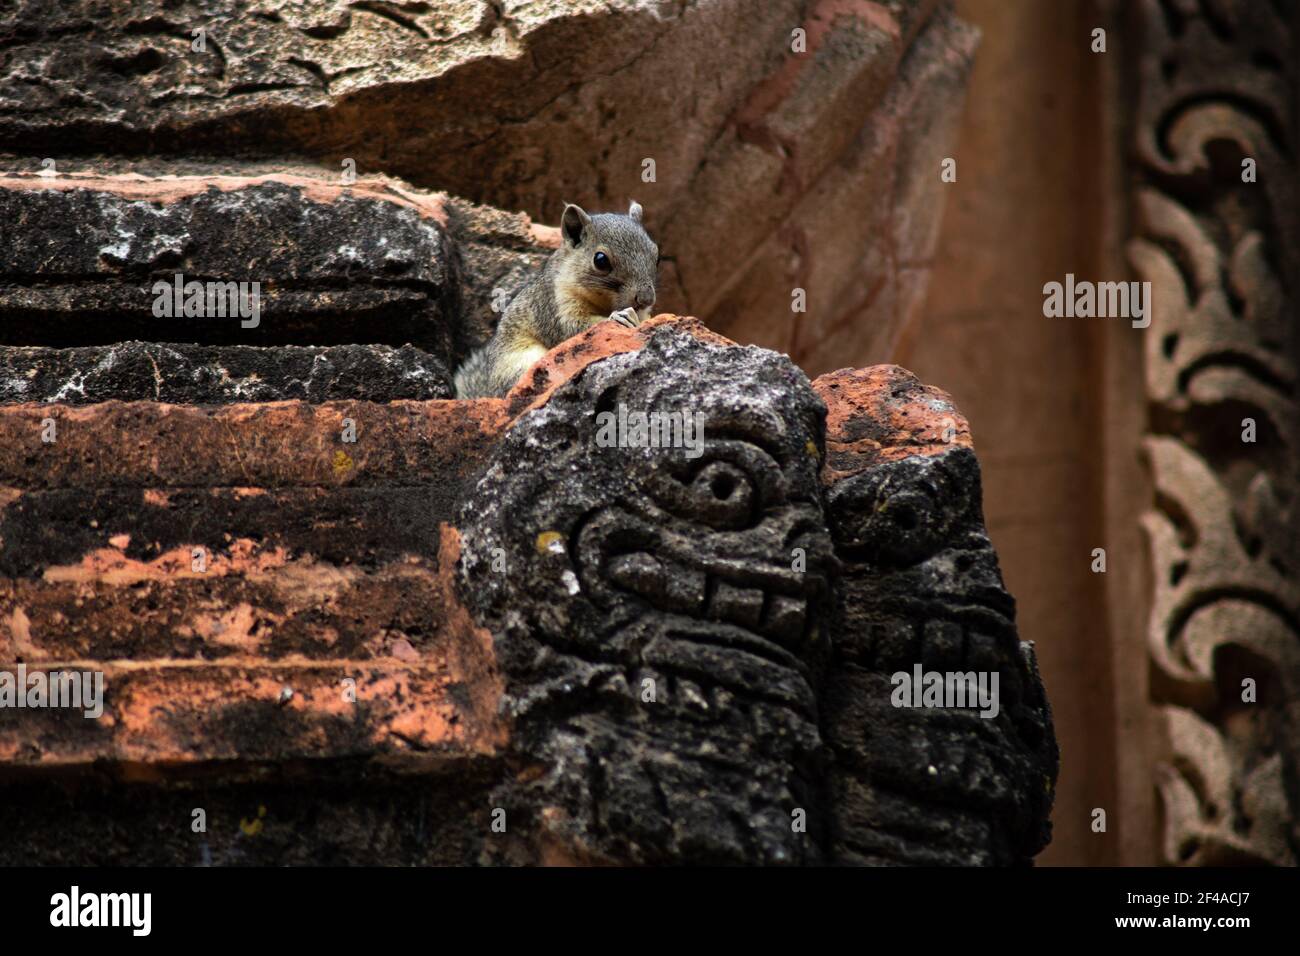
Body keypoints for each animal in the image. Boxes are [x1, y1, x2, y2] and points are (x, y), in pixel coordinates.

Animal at [454, 201, 659, 398]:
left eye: (656, 254)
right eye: (600, 260)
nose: (646, 299)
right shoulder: (554, 305)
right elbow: (572, 327)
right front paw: (619, 317)